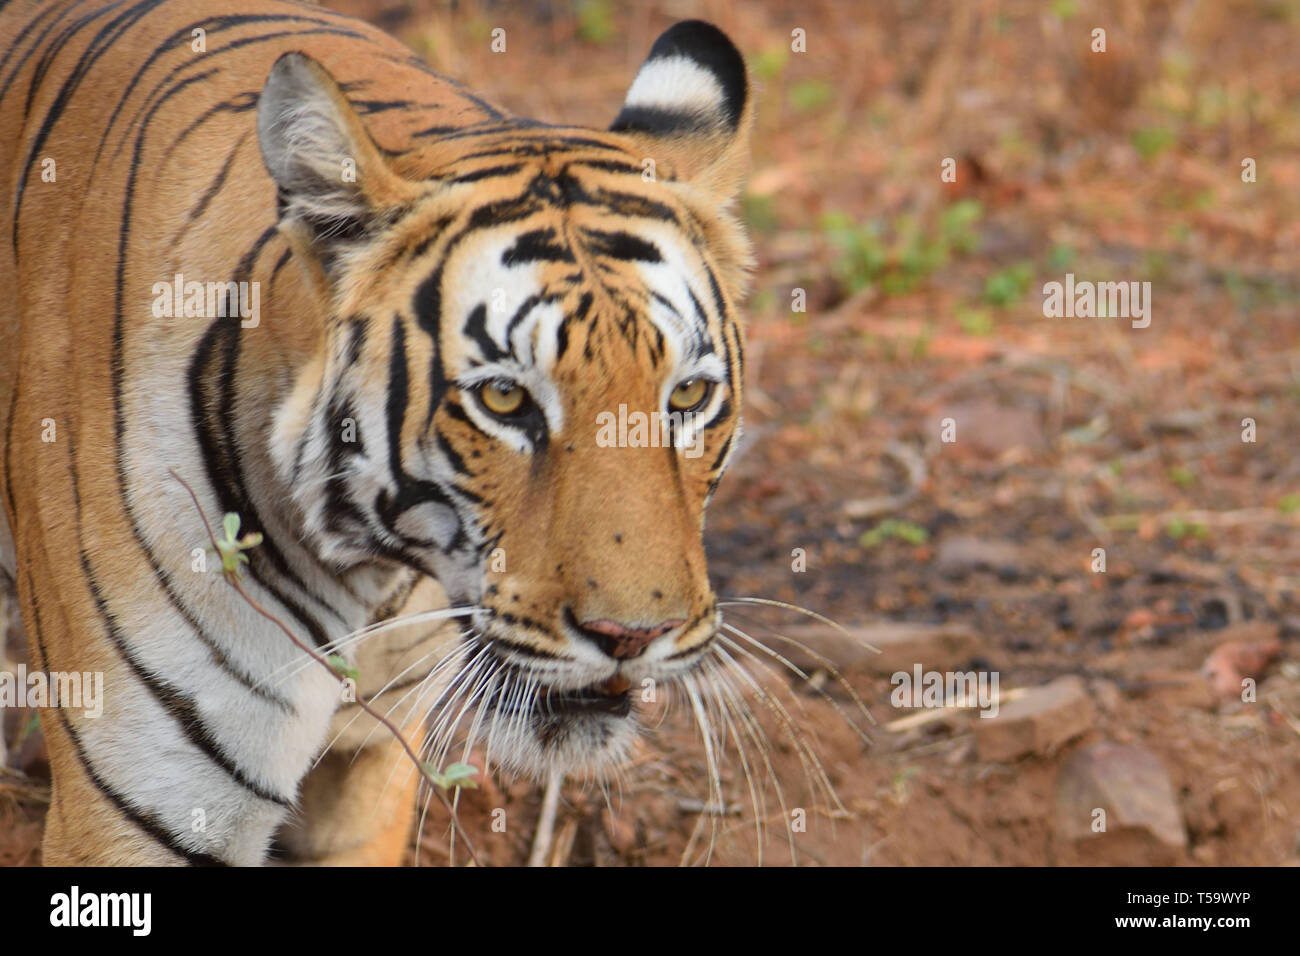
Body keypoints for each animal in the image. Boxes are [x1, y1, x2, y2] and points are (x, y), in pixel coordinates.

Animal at [0, 0, 755, 865]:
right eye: (505, 400)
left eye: (689, 395)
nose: (633, 637)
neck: (371, 574)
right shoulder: (140, 814)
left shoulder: (370, 772)